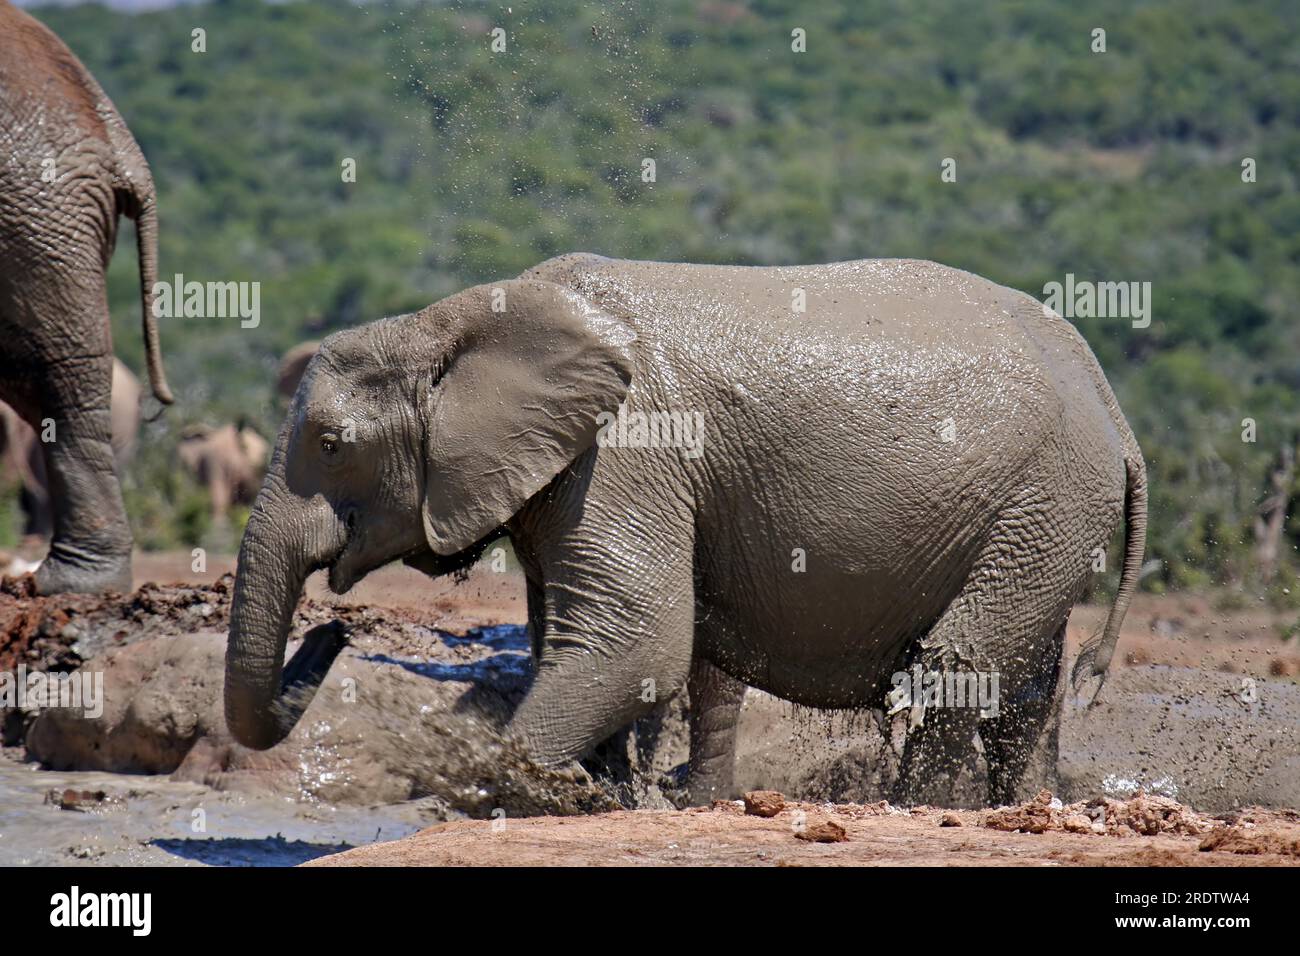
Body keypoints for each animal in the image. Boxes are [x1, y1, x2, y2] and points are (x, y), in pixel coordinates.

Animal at [224, 253, 1146, 808]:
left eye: (332, 445)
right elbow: (579, 639)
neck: (463, 316)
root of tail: (1111, 405)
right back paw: (1023, 806)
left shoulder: (629, 450)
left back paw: (912, 810)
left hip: (1046, 498)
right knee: (1028, 681)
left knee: (956, 663)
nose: (336, 632)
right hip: (1048, 515)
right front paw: (603, 799)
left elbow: (633, 641)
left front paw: (492, 789)